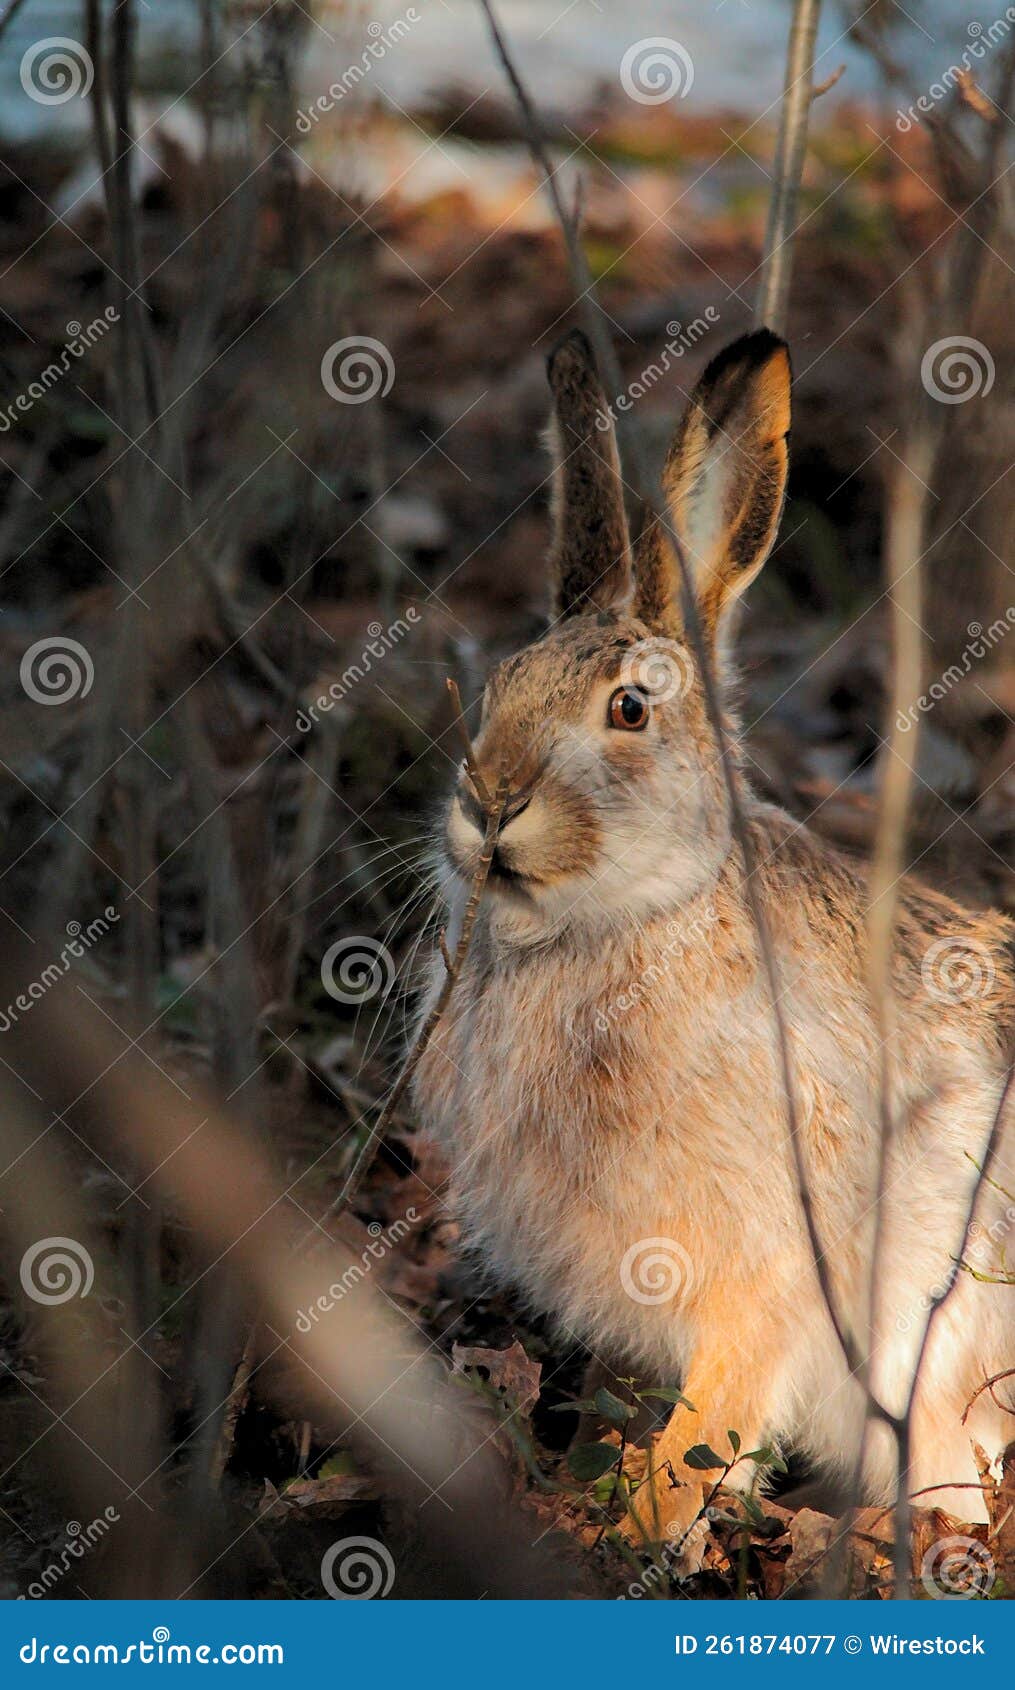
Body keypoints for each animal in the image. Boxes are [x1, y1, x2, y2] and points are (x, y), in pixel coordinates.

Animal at [413, 325, 1015, 1551]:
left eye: (629, 711)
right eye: (494, 689)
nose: (490, 803)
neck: (638, 912)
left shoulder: (775, 1270)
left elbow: (722, 1404)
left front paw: (636, 1517)